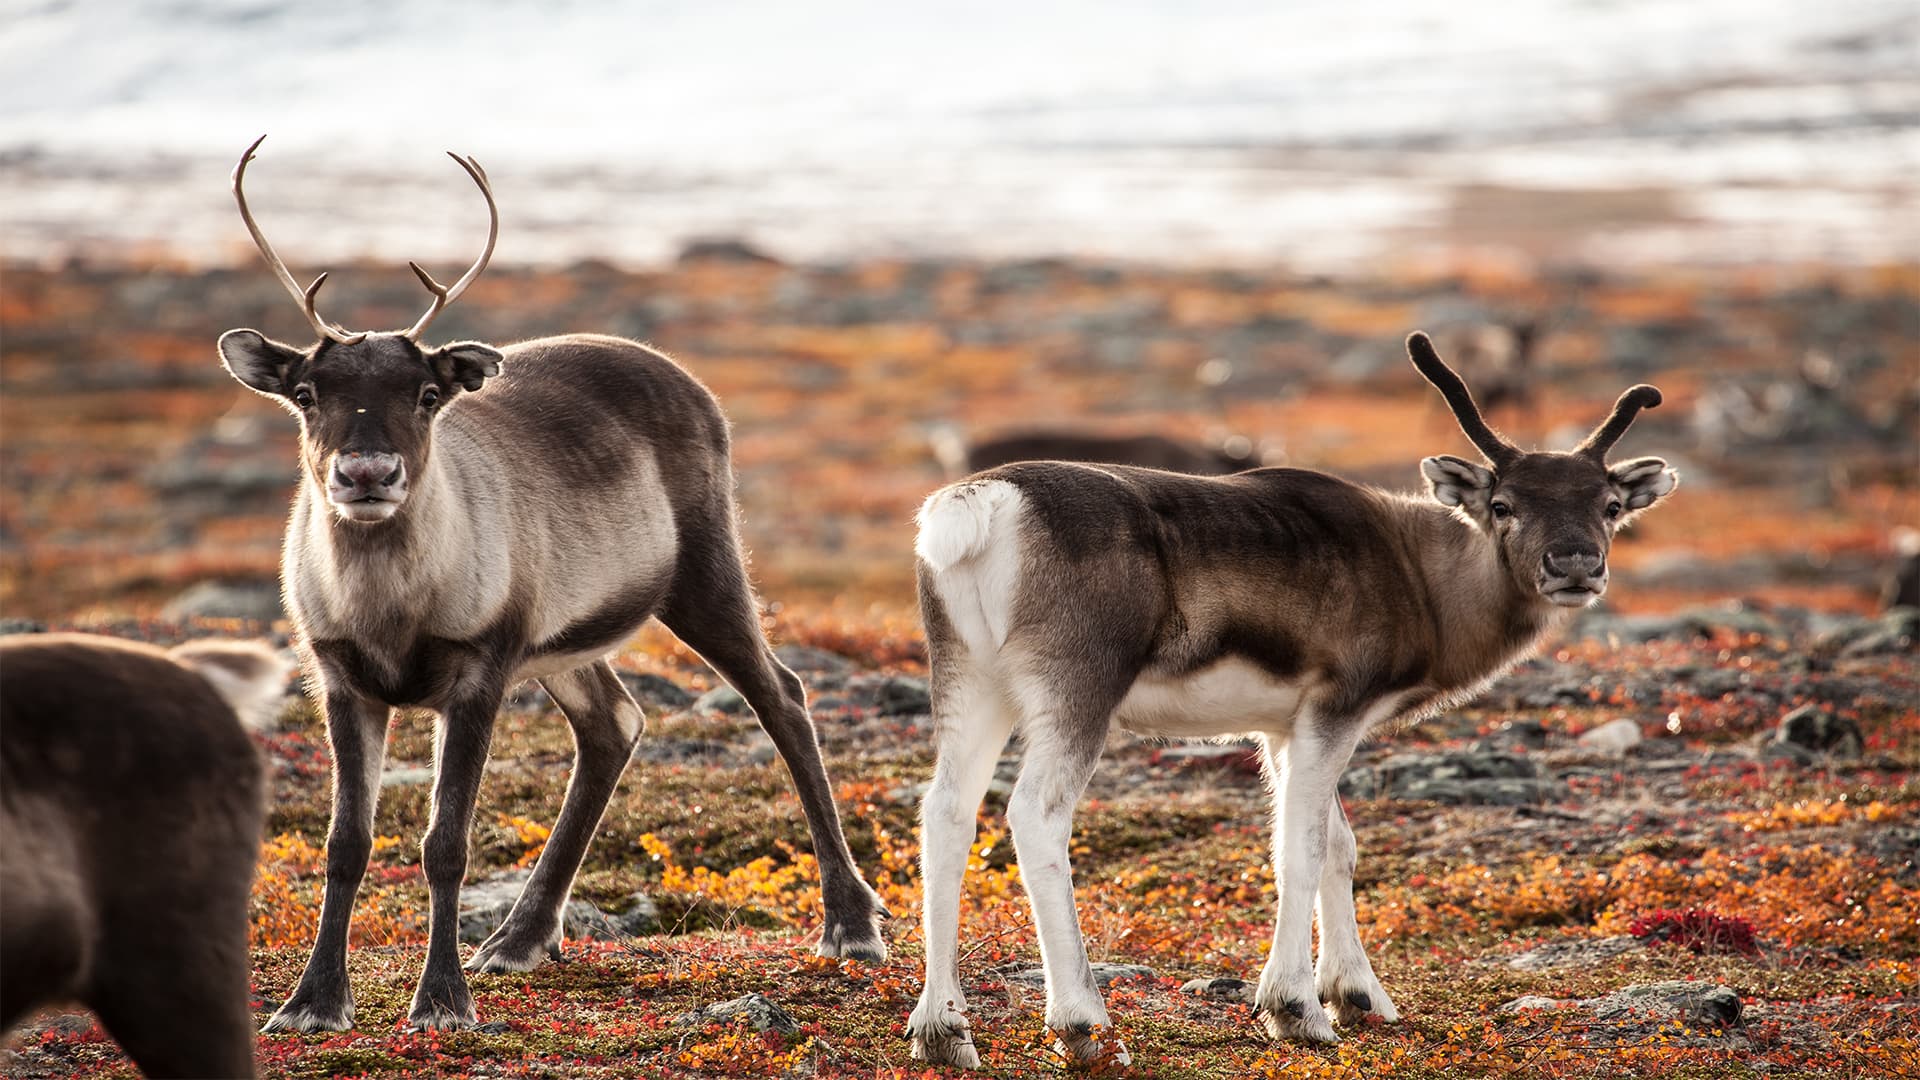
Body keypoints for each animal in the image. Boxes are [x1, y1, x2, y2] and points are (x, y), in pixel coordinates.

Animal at [214, 136, 886, 1035]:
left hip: (703, 572)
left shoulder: (478, 666)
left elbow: (445, 844)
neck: (390, 613)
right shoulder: (340, 675)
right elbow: (345, 844)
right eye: (306, 393)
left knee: (782, 695)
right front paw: (313, 1001)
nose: (366, 474)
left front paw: (440, 1000)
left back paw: (851, 923)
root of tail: (692, 383)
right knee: (615, 722)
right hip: (565, 640)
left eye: (427, 394)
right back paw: (519, 937)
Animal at [905, 333, 1677, 1068]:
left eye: (1609, 505)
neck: (1420, 578)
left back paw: (942, 1030)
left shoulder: (1284, 728)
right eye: (1502, 504)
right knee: (1036, 816)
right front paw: (1296, 1008)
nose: (1574, 564)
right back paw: (1085, 1027)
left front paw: (1360, 995)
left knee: (946, 813)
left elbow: (1339, 845)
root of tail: (978, 509)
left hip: (971, 681)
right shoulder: (1337, 707)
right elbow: (1299, 848)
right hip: (1079, 688)